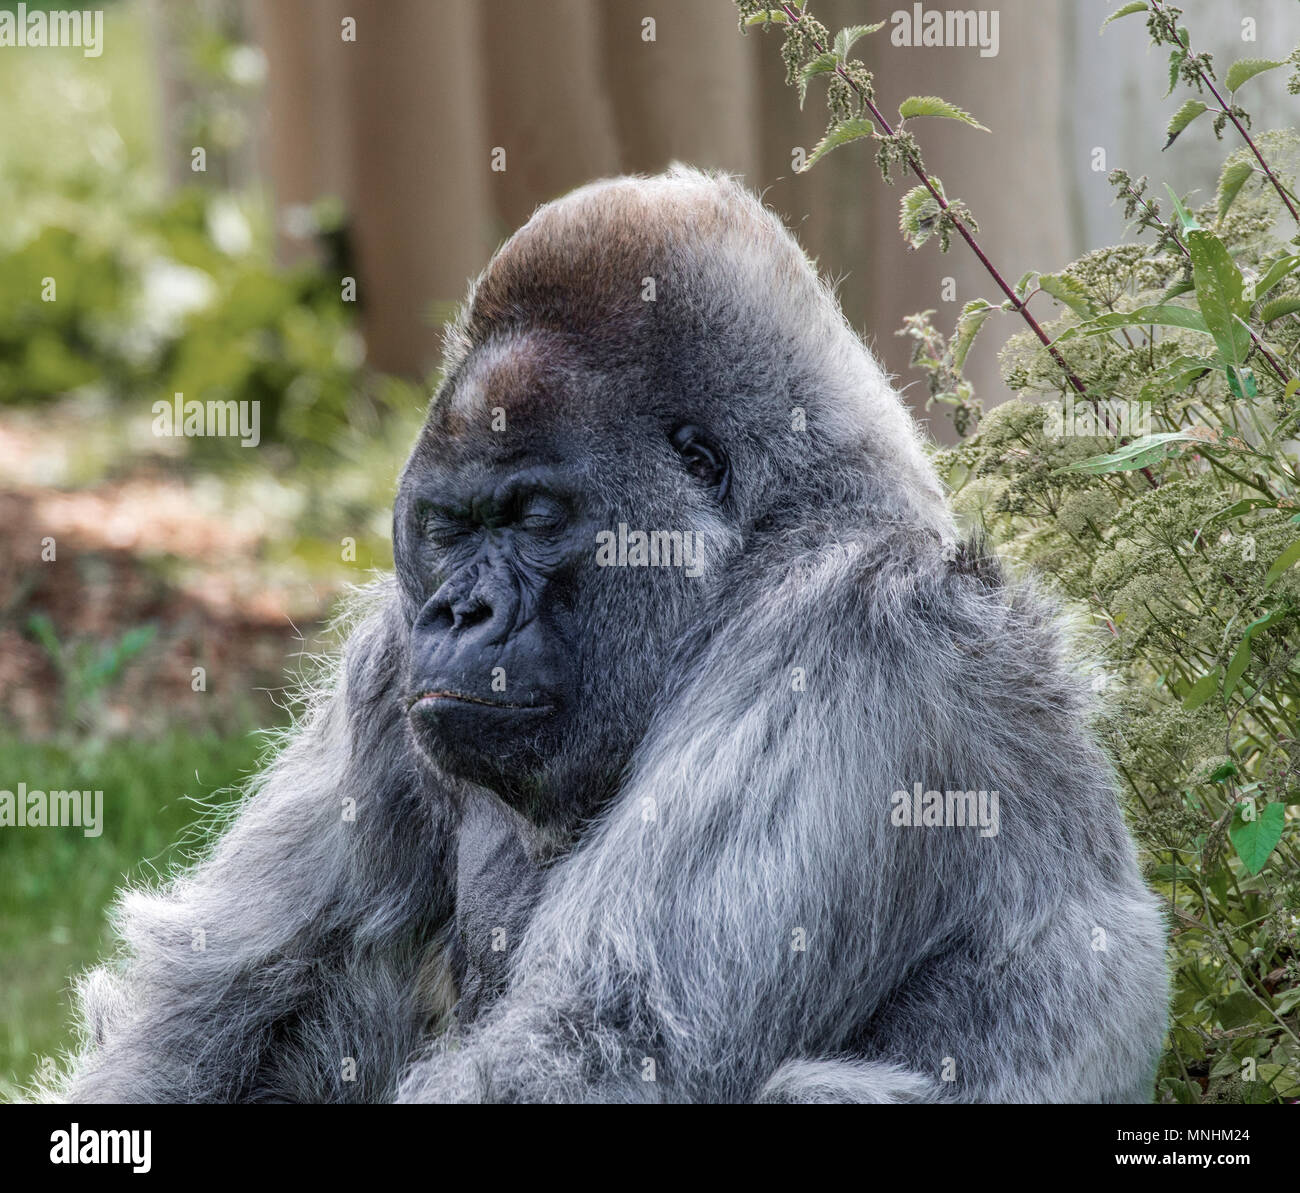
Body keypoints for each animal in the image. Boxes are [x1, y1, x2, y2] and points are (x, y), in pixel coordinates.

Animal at [55, 167, 1168, 1104]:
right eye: (446, 526)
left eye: (534, 515)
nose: (457, 611)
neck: (768, 542)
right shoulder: (385, 663)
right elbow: (225, 996)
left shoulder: (853, 634)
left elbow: (602, 1044)